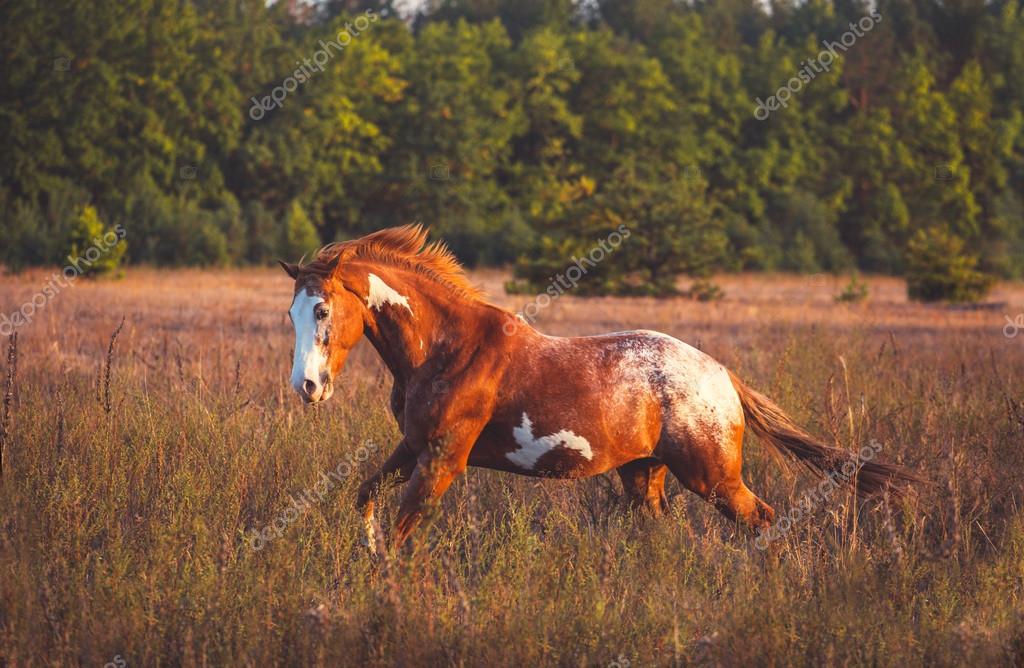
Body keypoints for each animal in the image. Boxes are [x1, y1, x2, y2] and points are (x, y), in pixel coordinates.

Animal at [279, 225, 919, 550]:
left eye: (323, 310)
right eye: (292, 313)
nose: (307, 387)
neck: (446, 352)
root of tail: (722, 377)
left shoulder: (442, 458)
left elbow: (401, 530)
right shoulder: (412, 446)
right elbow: (365, 500)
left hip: (710, 476)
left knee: (761, 518)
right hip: (643, 473)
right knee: (662, 533)